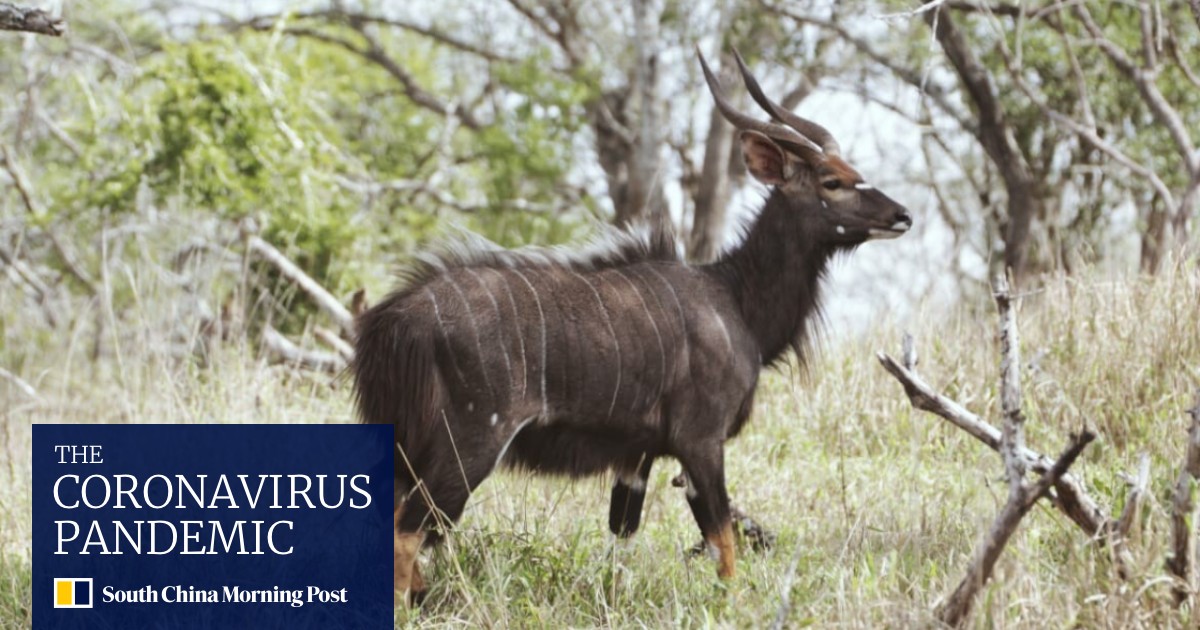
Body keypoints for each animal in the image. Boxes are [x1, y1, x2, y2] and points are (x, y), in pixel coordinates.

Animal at [353, 49, 913, 604]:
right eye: (832, 181)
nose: (902, 215)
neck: (733, 297)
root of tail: (395, 318)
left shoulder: (636, 456)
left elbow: (623, 536)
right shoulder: (700, 440)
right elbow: (723, 541)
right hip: (469, 443)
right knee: (407, 533)